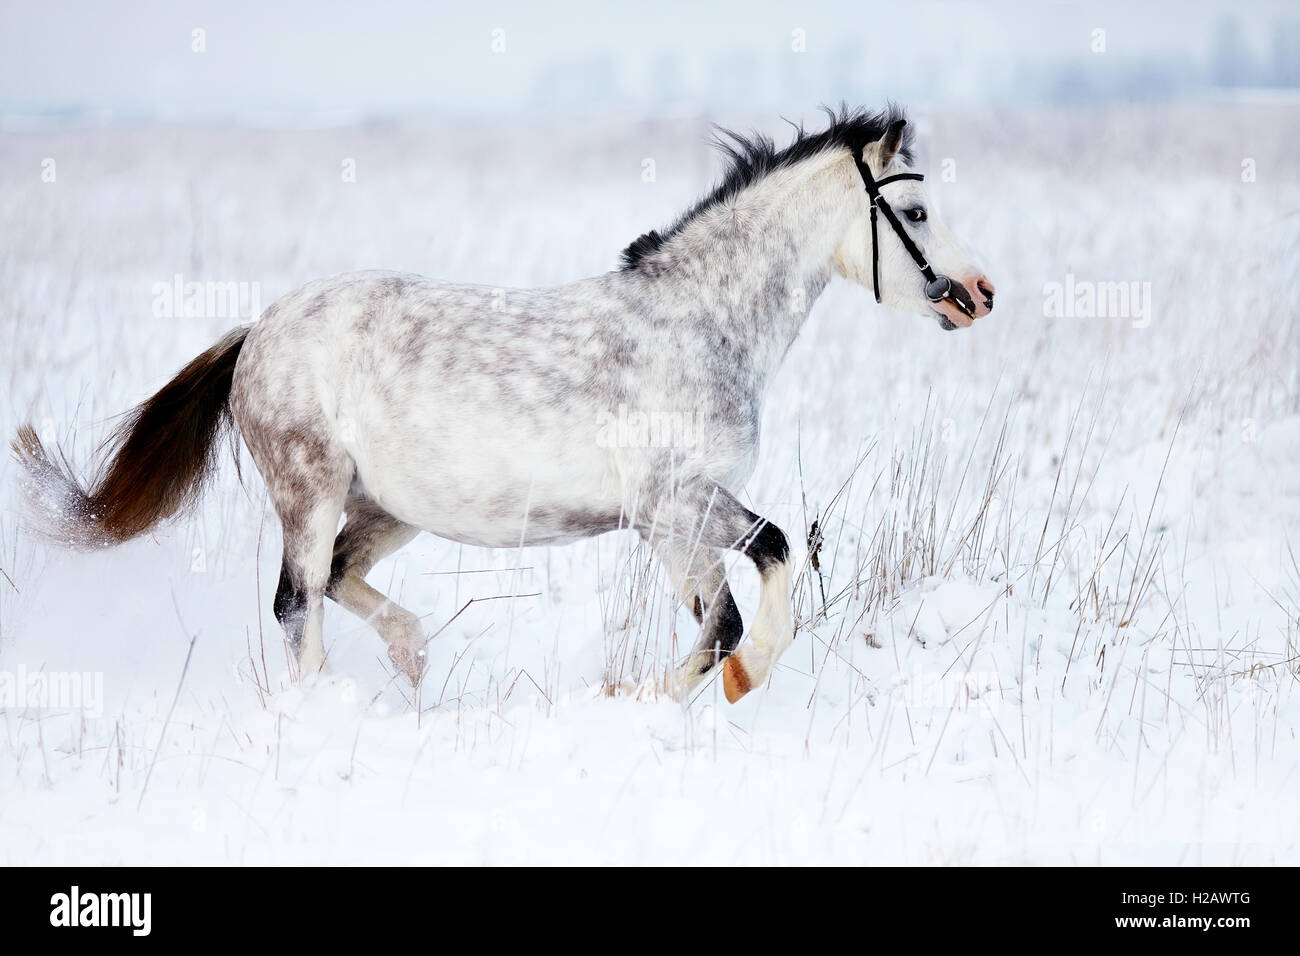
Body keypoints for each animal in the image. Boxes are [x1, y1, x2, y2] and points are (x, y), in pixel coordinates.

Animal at [12, 105, 994, 704]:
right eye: (914, 209)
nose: (978, 294)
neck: (699, 324)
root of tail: (259, 329)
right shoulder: (672, 505)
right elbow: (752, 590)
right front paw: (710, 688)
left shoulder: (674, 517)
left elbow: (733, 604)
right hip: (309, 490)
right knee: (296, 602)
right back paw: (325, 704)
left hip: (388, 509)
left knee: (336, 581)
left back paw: (412, 660)